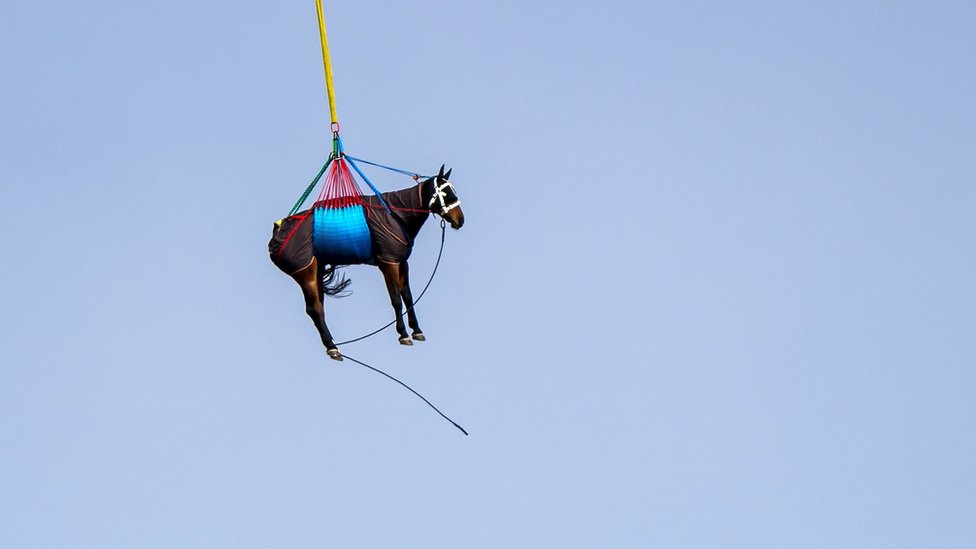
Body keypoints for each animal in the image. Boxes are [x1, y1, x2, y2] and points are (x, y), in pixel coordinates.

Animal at [269, 165, 464, 361]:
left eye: (453, 191)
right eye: (446, 193)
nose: (460, 220)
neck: (395, 214)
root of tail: (278, 232)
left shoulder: (401, 262)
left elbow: (407, 296)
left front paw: (416, 330)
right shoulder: (388, 263)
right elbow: (396, 299)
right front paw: (403, 334)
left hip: (316, 271)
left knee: (319, 308)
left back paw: (332, 345)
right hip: (305, 273)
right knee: (314, 309)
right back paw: (332, 346)